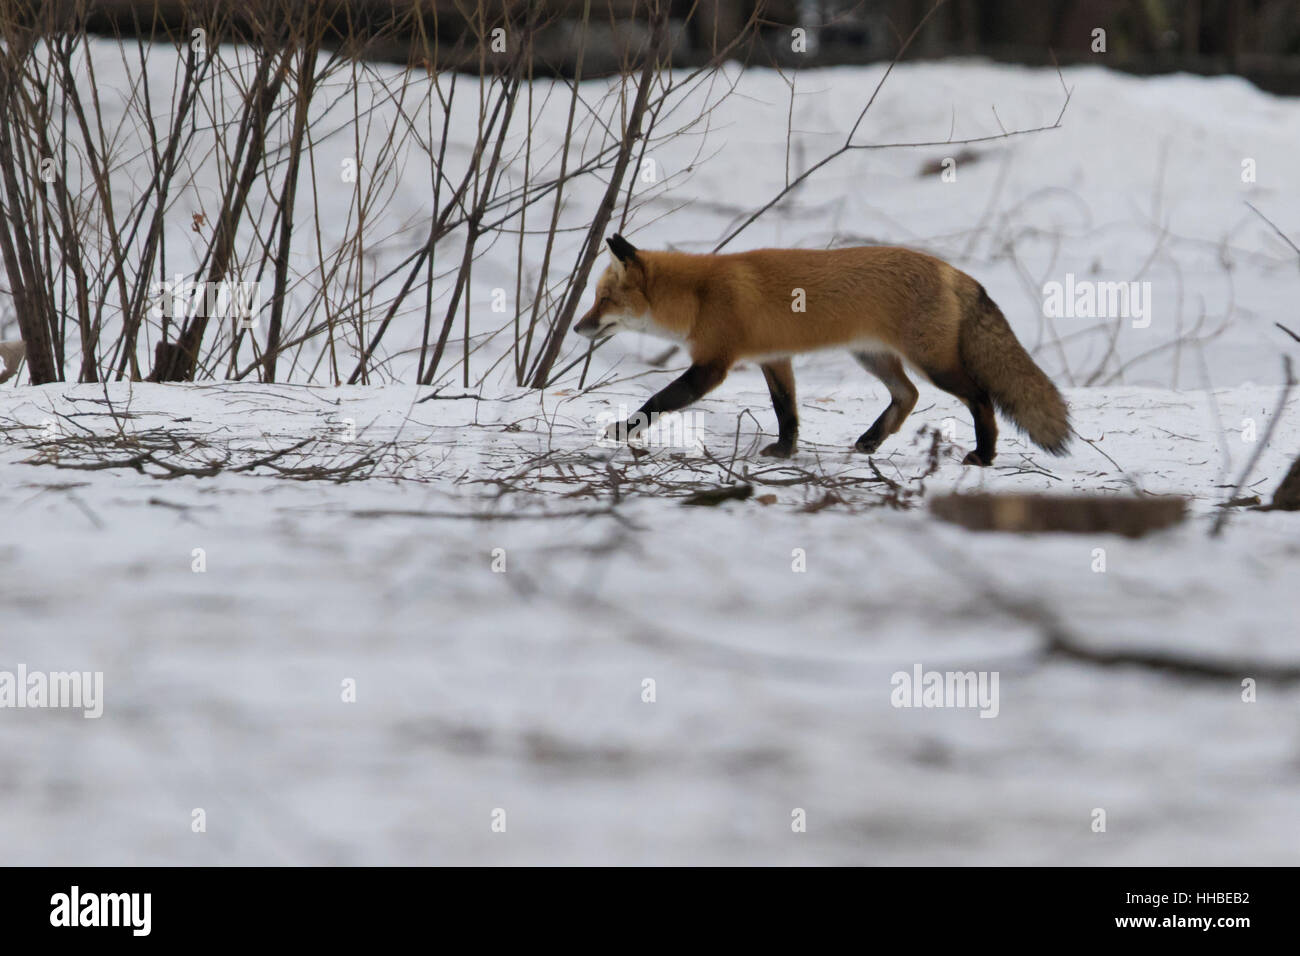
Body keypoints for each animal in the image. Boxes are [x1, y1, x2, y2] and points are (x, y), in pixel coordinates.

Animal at [574, 235, 1070, 465]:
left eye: (603, 300)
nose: (578, 328)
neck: (698, 296)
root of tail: (953, 271)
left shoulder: (712, 365)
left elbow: (658, 401)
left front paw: (621, 430)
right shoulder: (773, 359)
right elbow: (786, 410)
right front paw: (785, 450)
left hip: (935, 364)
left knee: (980, 398)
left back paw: (984, 455)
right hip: (873, 357)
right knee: (907, 396)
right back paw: (871, 440)